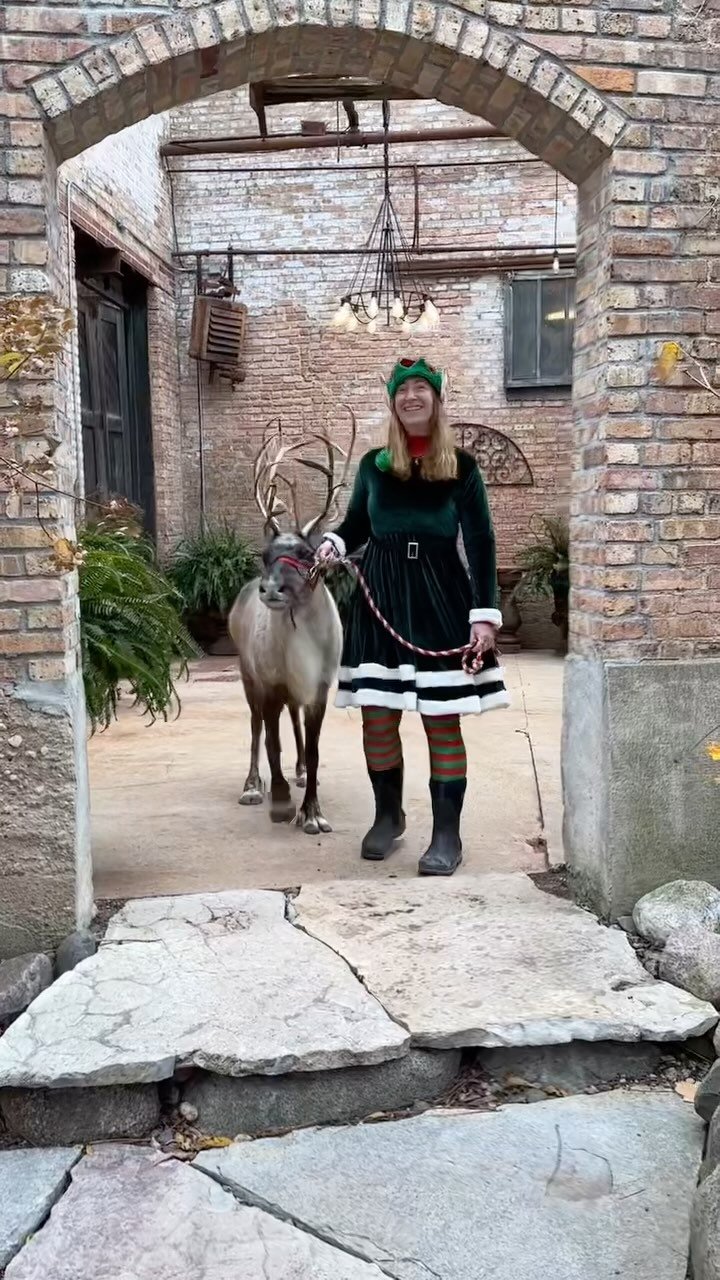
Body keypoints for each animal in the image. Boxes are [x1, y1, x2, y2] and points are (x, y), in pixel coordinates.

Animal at [228, 413, 356, 835]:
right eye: (264, 554)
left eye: (305, 553)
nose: (270, 589)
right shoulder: (270, 683)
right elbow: (271, 742)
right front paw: (282, 802)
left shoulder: (319, 687)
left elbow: (313, 750)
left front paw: (312, 811)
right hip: (247, 674)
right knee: (255, 728)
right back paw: (253, 786)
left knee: (295, 723)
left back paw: (298, 773)